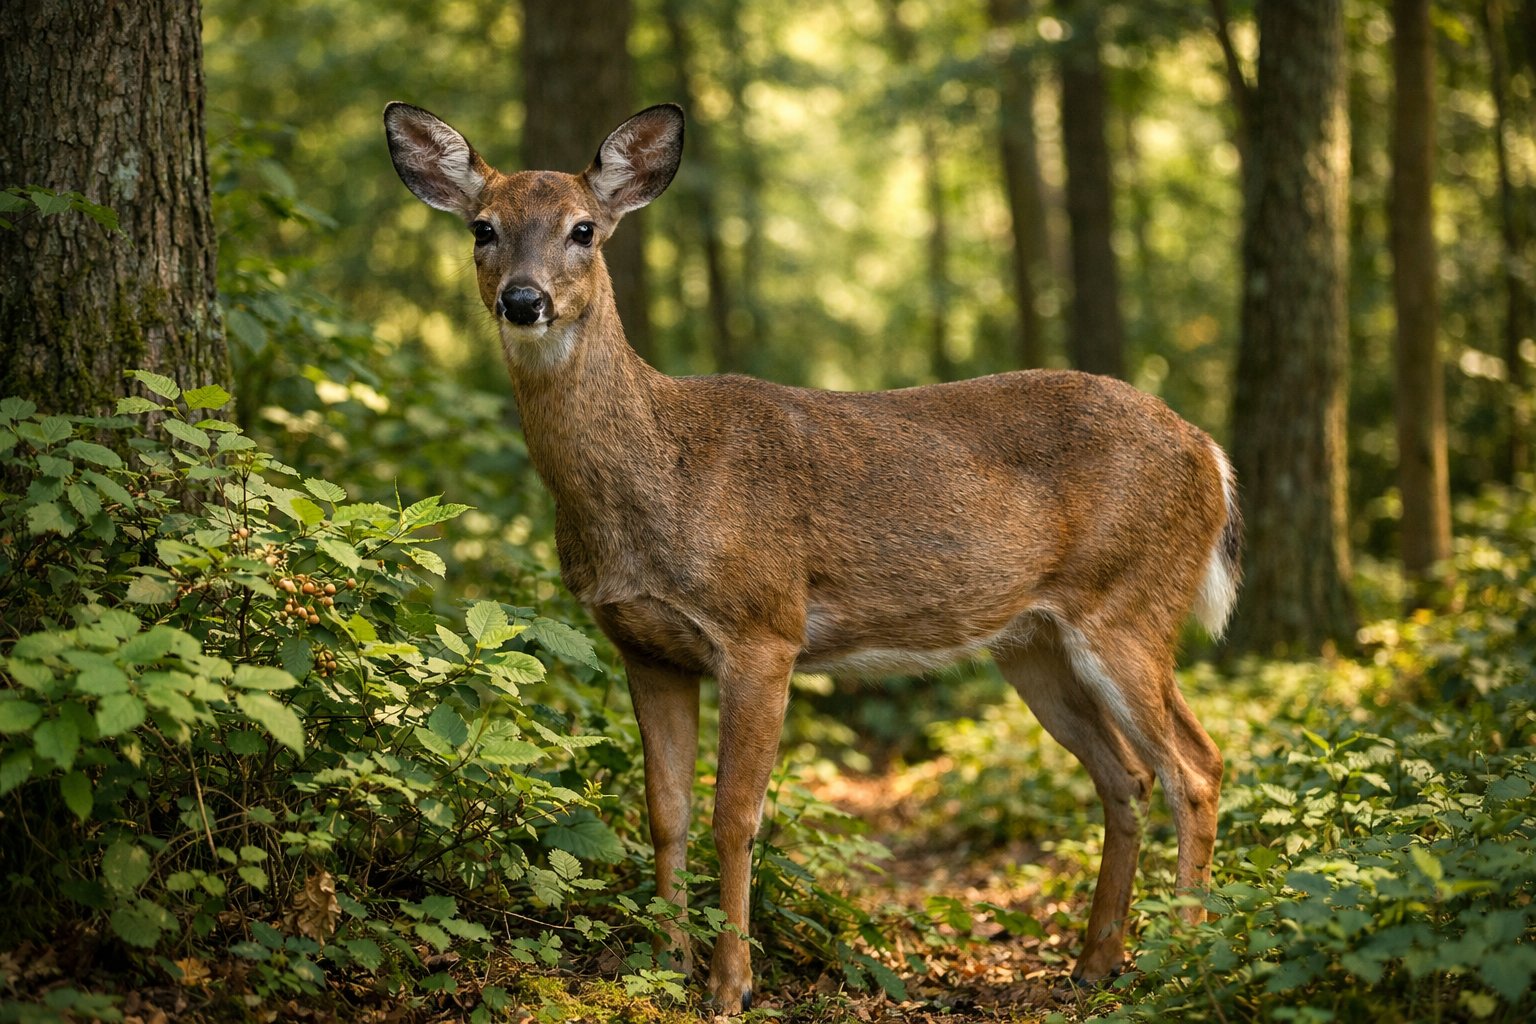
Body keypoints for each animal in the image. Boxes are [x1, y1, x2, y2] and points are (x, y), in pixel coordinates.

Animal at [384, 100, 1240, 1014]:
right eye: (483, 228)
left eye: (583, 229)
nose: (523, 300)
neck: (662, 480)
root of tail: (1210, 453)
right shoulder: (645, 646)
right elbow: (663, 811)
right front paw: (664, 966)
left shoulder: (764, 628)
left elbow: (734, 816)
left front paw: (730, 986)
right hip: (1034, 643)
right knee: (1127, 776)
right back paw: (1094, 962)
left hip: (1129, 603)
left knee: (1195, 766)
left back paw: (1179, 967)